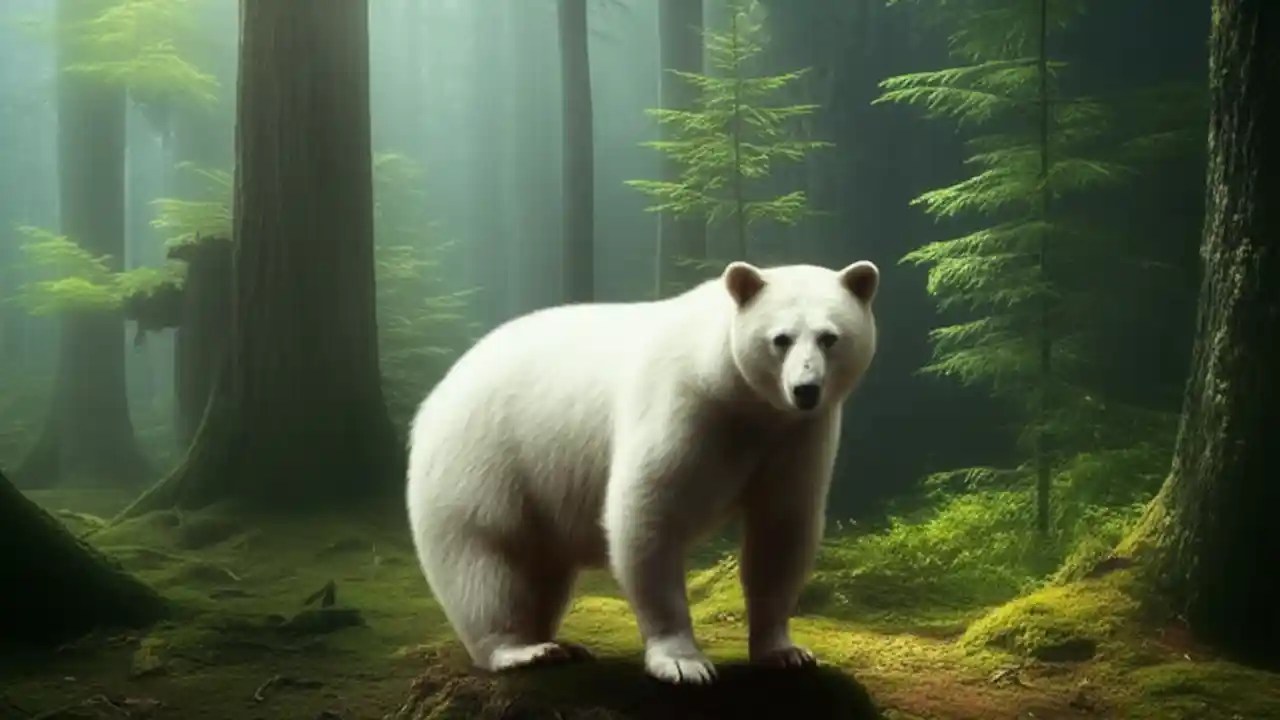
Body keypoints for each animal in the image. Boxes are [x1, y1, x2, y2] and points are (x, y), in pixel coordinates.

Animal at [405, 259, 879, 684]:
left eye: (829, 337)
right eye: (781, 339)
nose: (805, 390)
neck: (740, 397)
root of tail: (437, 393)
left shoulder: (796, 437)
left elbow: (781, 529)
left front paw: (785, 651)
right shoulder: (684, 406)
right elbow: (650, 513)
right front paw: (682, 662)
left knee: (542, 572)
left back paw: (558, 641)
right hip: (484, 462)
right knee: (487, 561)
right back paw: (523, 648)